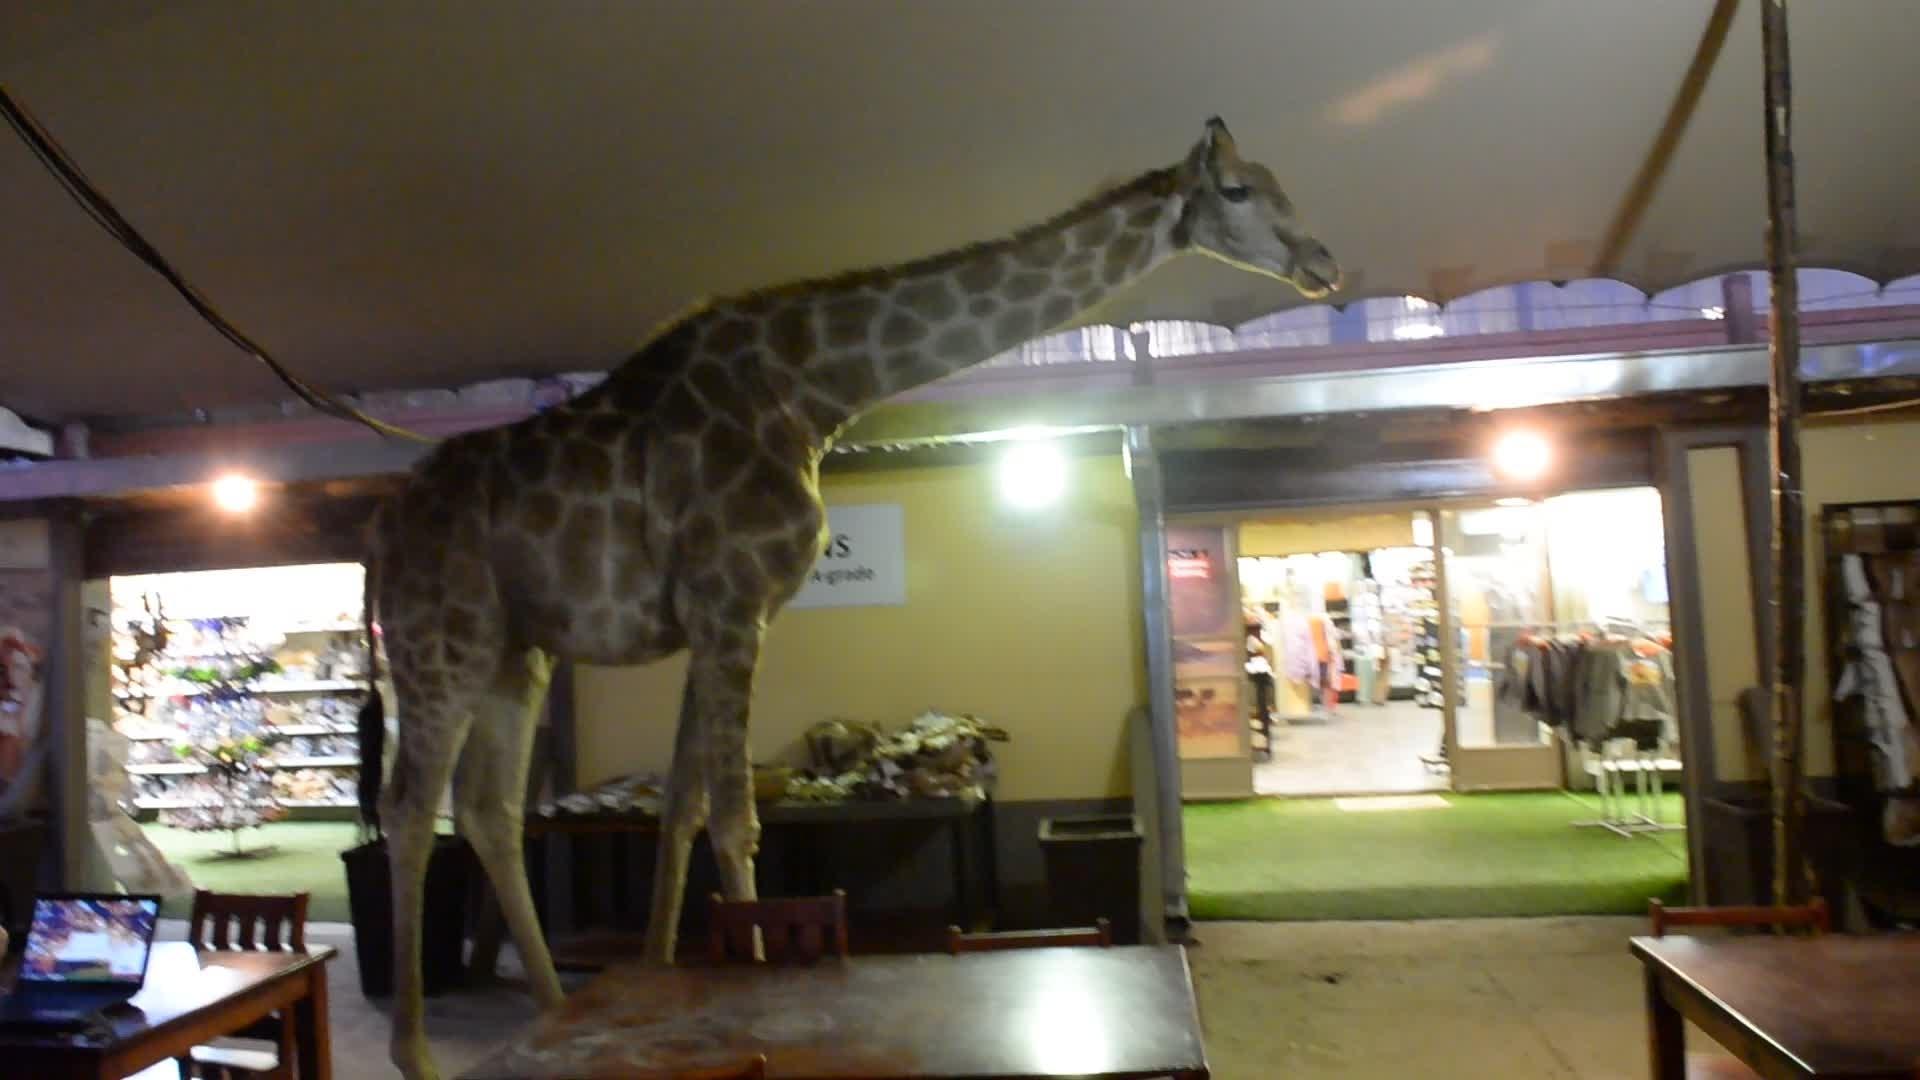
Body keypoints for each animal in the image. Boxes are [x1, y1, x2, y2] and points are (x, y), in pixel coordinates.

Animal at [370, 116, 1338, 1080]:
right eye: (1239, 190)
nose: (1324, 261)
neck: (814, 388)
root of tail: (382, 527)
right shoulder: (731, 603)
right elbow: (735, 822)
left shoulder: (713, 615)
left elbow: (681, 812)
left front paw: (651, 972)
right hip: (441, 640)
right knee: (411, 808)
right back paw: (416, 1051)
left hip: (516, 649)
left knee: (489, 810)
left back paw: (550, 1009)